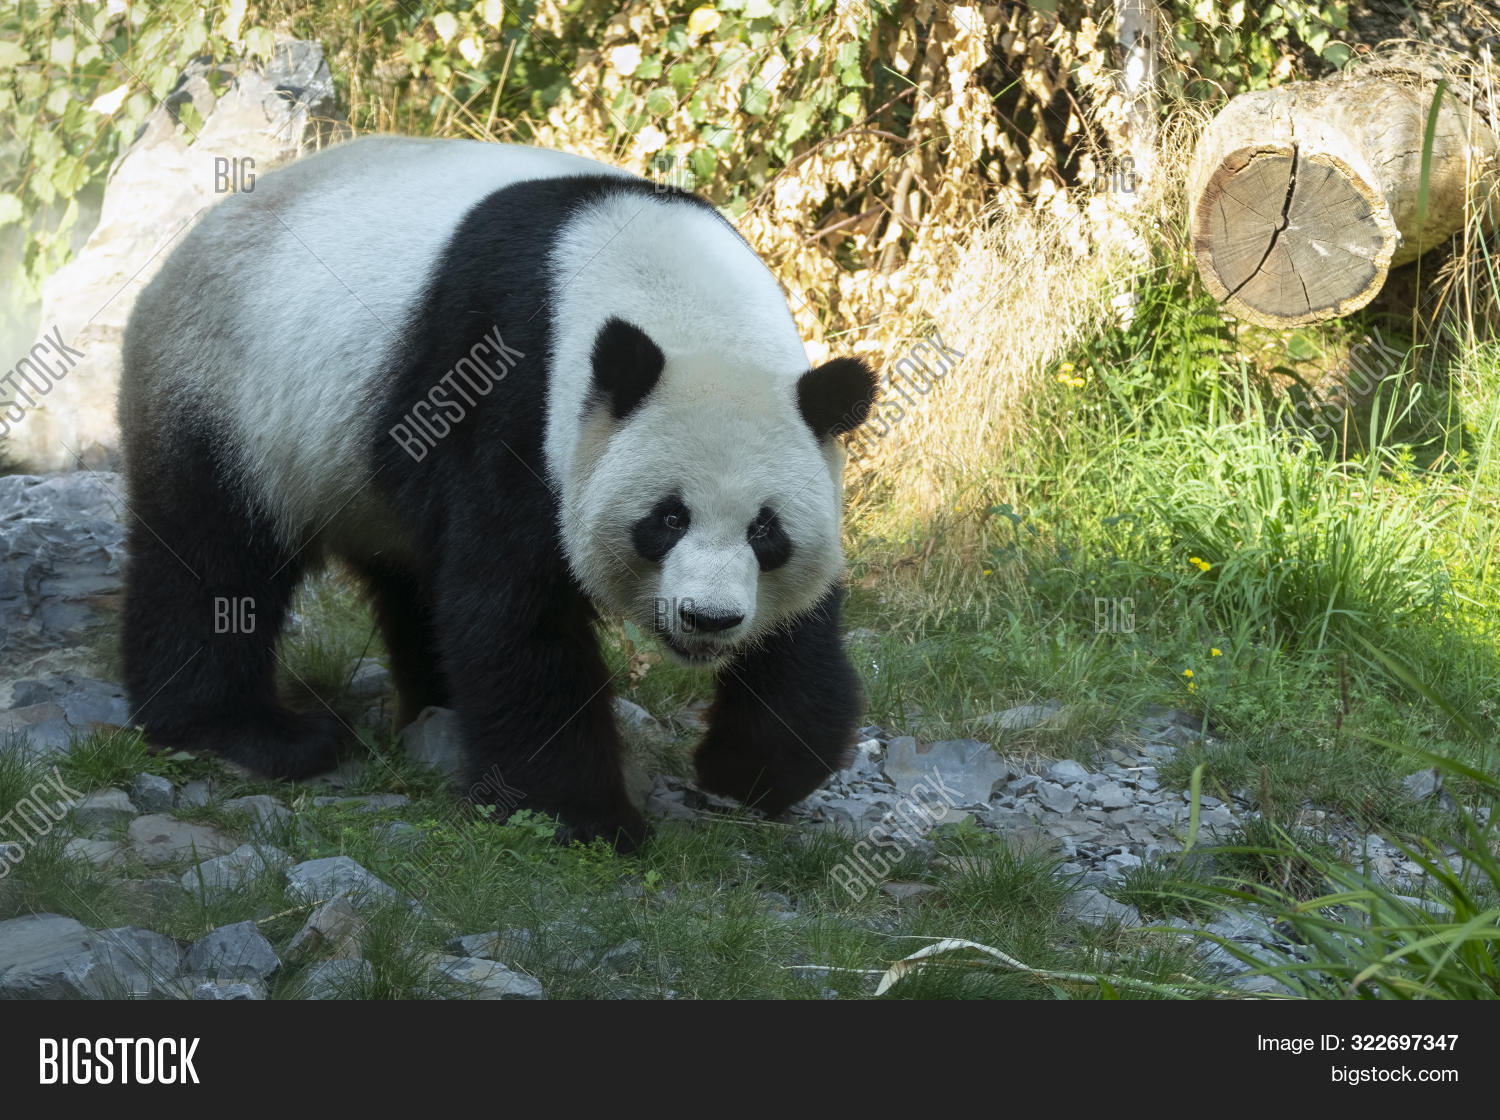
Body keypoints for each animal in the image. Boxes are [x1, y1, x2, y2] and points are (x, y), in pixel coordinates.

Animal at [117, 135, 878, 850]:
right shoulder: (504, 390)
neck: (683, 304)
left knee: (410, 580)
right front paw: (585, 817)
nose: (708, 619)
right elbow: (513, 608)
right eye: (666, 519)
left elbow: (803, 625)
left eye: (766, 531)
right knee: (213, 559)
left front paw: (749, 768)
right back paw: (248, 731)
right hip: (230, 388)